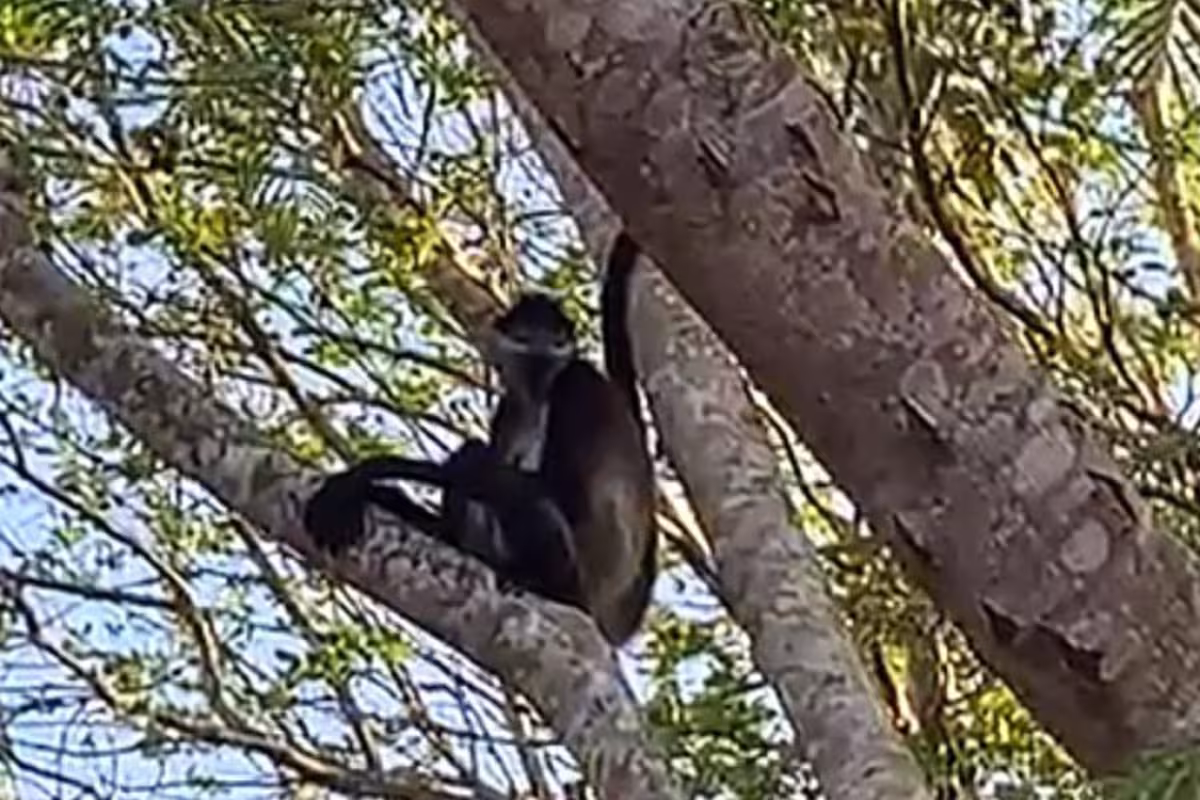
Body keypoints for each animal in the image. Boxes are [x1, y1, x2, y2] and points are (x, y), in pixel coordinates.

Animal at [303, 232, 655, 645]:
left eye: (554, 338)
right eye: (525, 336)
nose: (542, 347)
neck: (539, 394)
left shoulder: (577, 385)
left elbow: (568, 496)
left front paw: (368, 473)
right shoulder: (510, 406)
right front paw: (376, 489)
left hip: (574, 578)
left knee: (488, 471)